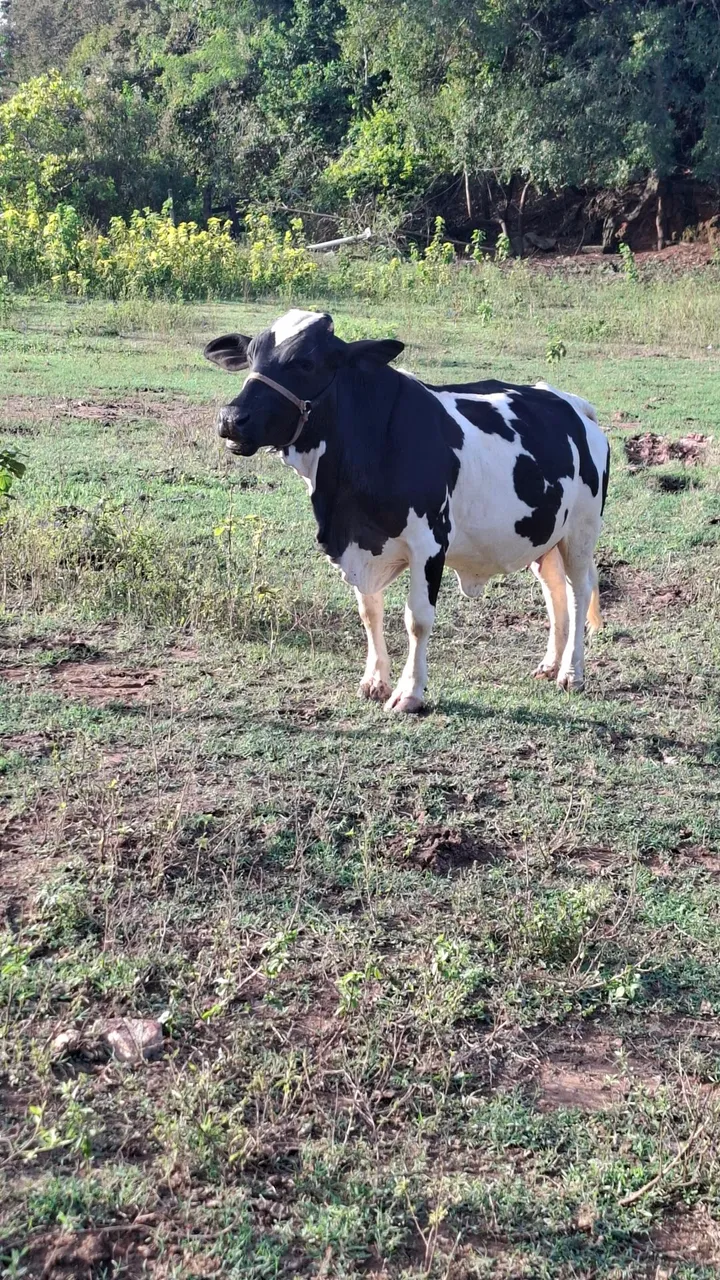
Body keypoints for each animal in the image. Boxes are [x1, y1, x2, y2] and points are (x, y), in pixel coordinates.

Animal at [205, 309, 610, 713]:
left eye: (306, 362)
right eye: (252, 357)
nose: (231, 418)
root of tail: (570, 401)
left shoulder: (429, 543)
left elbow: (417, 618)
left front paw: (410, 692)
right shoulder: (359, 545)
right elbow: (369, 612)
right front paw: (374, 681)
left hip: (581, 532)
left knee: (578, 592)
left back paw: (571, 673)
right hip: (545, 534)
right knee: (555, 590)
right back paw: (550, 664)